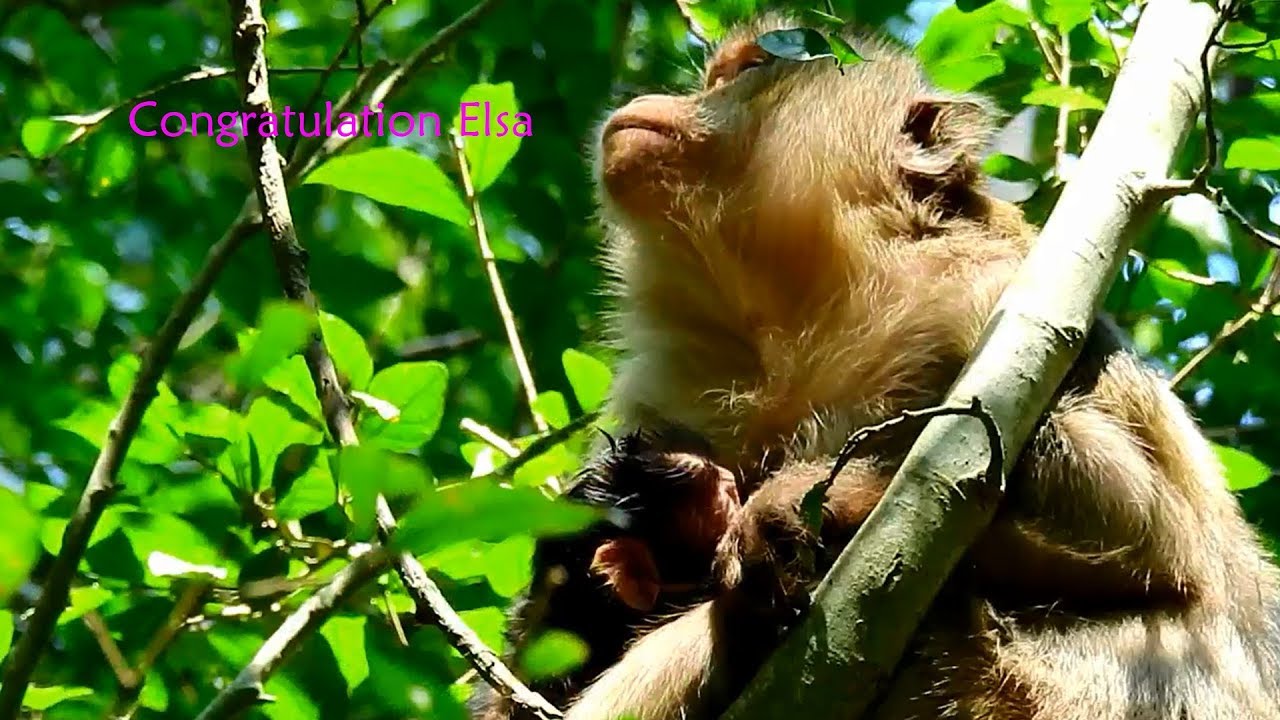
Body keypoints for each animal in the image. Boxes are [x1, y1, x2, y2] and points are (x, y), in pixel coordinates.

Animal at [553, 10, 1280, 720]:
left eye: (749, 69)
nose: (657, 99)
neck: (800, 320)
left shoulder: (997, 307)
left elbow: (1145, 537)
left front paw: (795, 504)